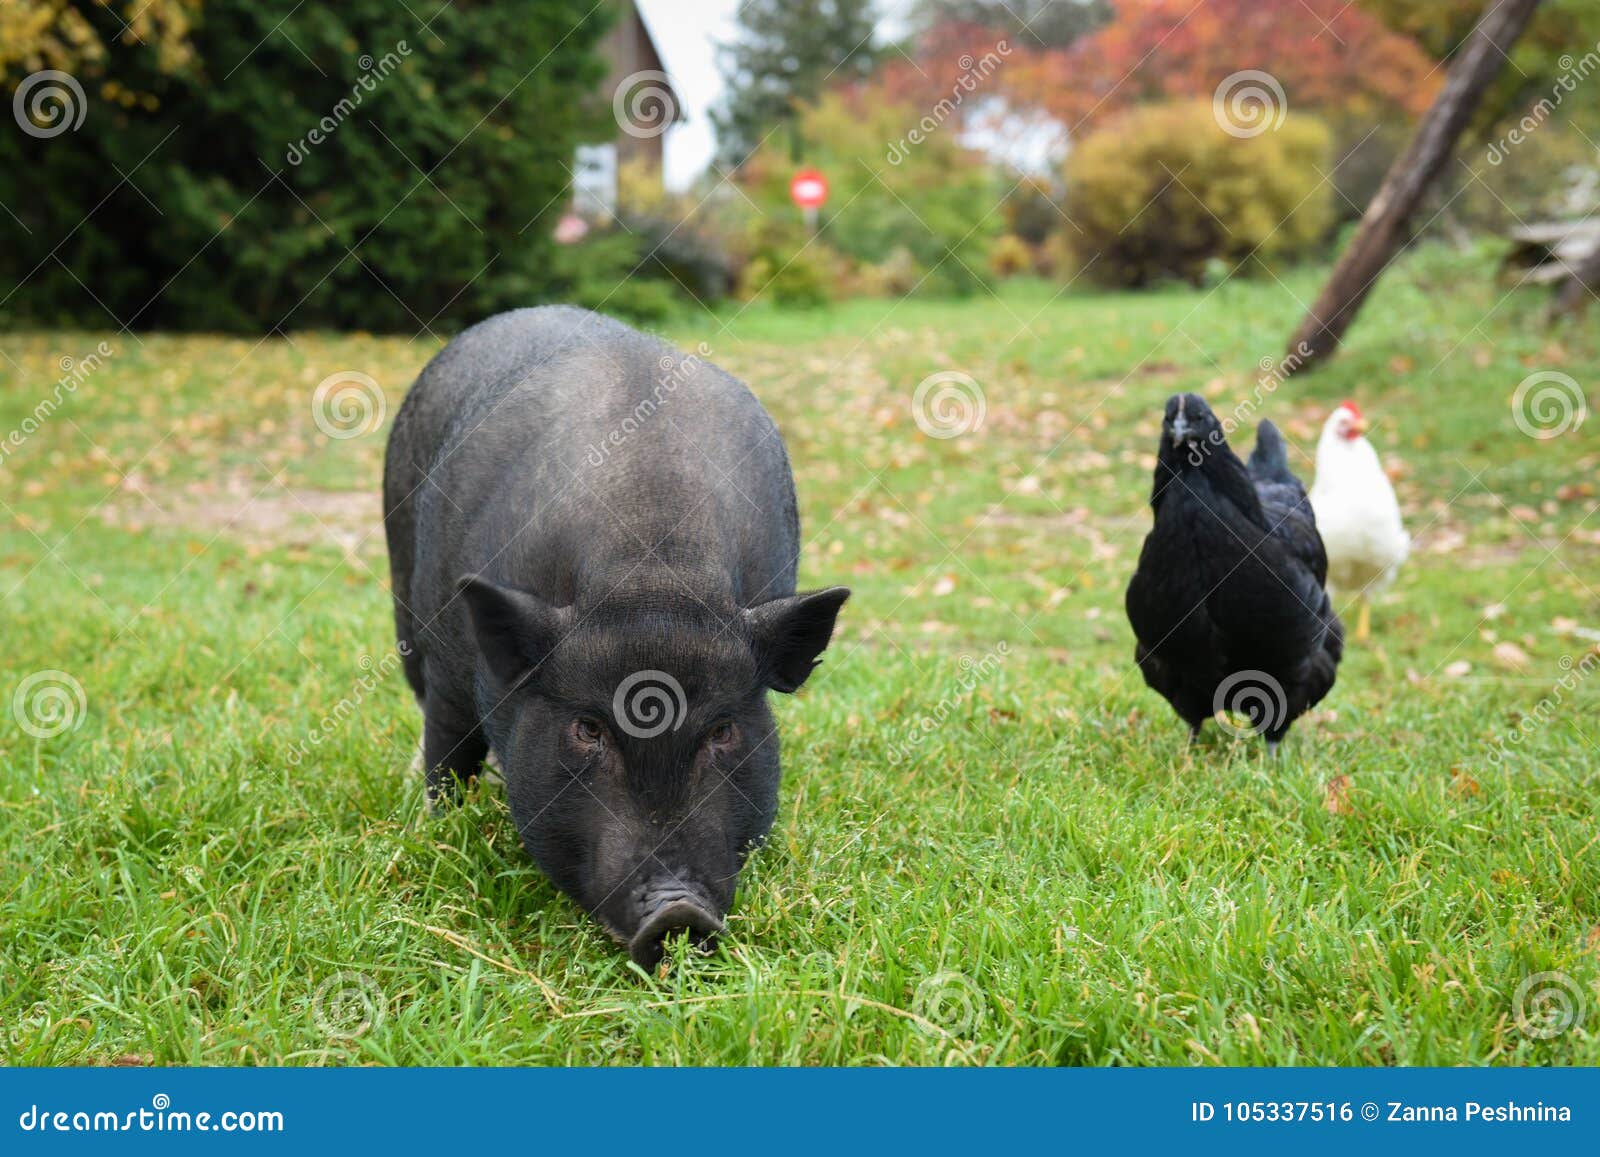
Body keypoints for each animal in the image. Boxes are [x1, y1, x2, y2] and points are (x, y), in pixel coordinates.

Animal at [383, 307, 849, 969]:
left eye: (723, 730)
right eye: (588, 728)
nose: (678, 913)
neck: (653, 580)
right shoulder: (449, 666)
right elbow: (448, 756)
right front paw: (439, 828)